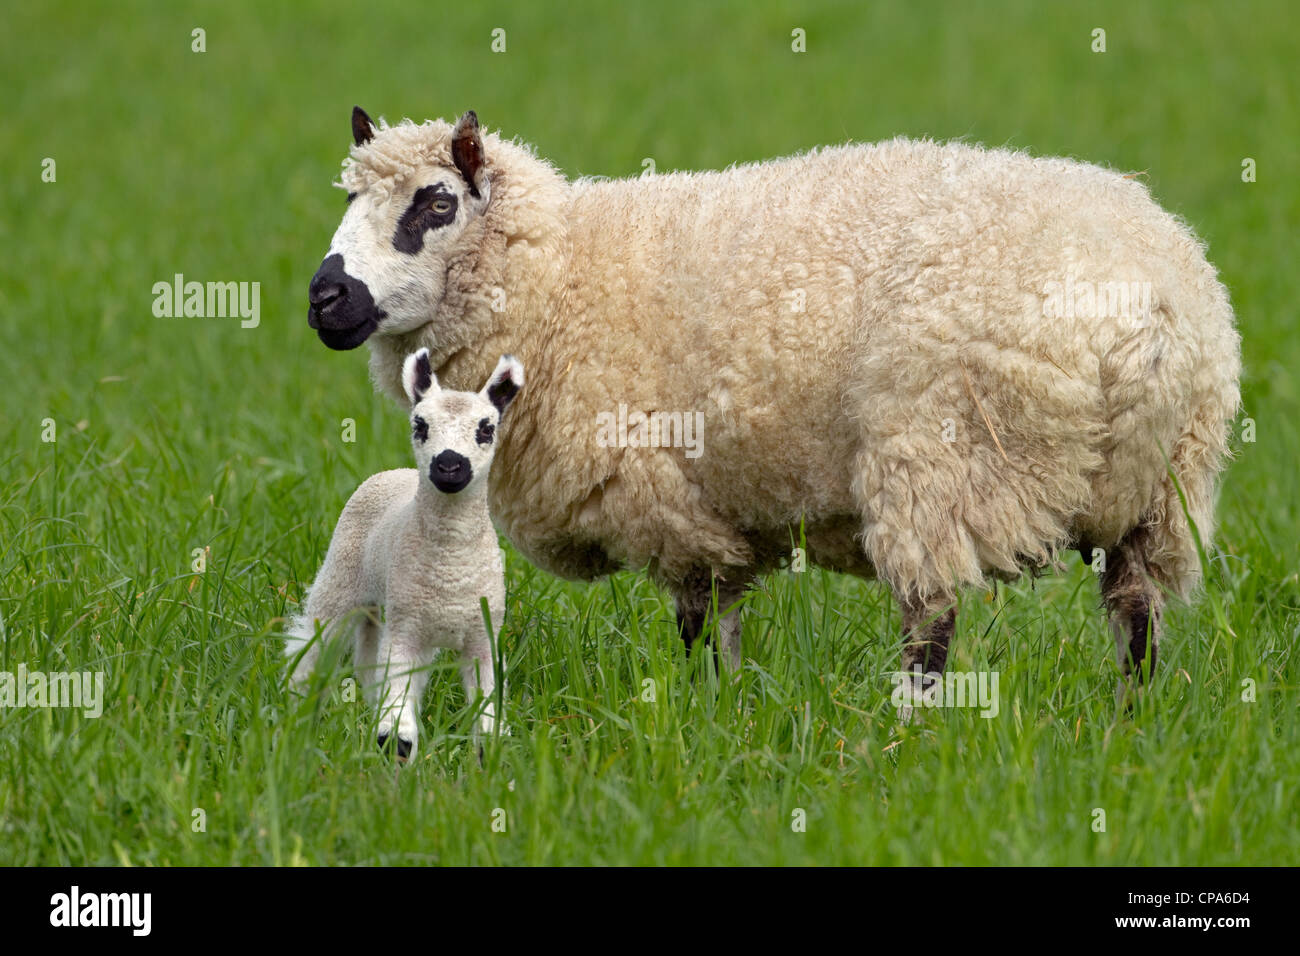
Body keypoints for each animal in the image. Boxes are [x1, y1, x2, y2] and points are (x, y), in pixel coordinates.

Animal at [285, 347, 524, 759]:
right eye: (420, 425)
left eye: (486, 429)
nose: (448, 465)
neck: (450, 569)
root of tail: (393, 472)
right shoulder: (406, 633)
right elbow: (396, 732)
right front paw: (395, 754)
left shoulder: (484, 634)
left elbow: (488, 713)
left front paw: (489, 760)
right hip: (342, 575)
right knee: (313, 644)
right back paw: (296, 711)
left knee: (367, 659)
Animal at [305, 106, 1241, 704]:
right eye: (347, 200)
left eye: (435, 204)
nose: (325, 298)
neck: (562, 276)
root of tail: (1152, 313)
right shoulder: (709, 514)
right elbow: (720, 624)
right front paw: (722, 718)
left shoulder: (668, 507)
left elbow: (696, 627)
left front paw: (695, 718)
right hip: (1162, 496)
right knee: (1138, 620)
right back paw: (1129, 726)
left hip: (943, 463)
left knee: (931, 622)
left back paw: (906, 739)